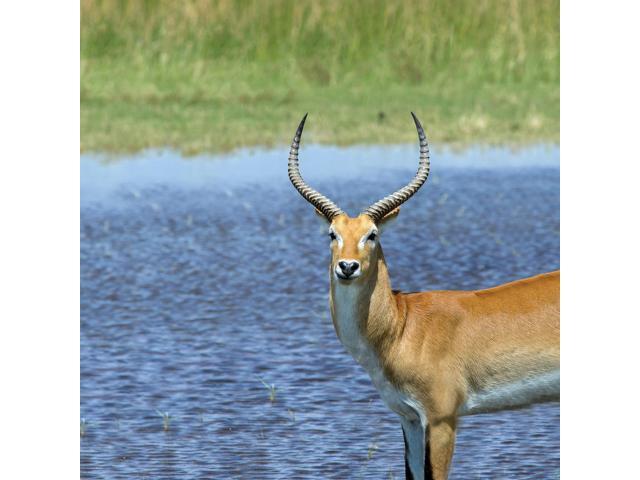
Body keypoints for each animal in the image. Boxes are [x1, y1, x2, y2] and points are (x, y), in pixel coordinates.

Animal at [287, 113, 559, 480]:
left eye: (372, 234)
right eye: (332, 234)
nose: (347, 266)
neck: (402, 327)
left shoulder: (442, 419)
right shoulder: (409, 419)